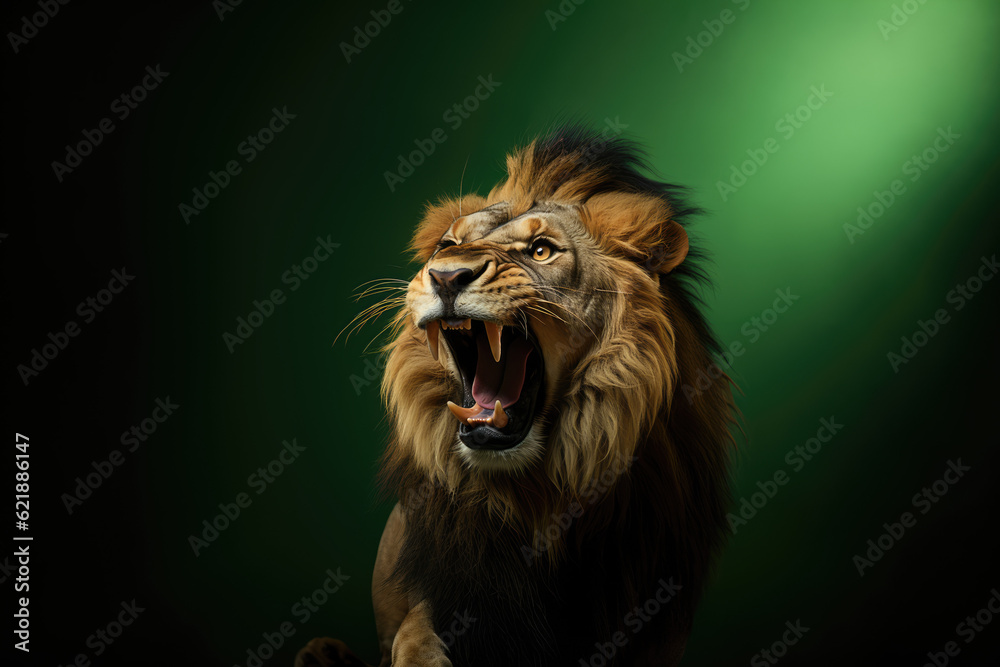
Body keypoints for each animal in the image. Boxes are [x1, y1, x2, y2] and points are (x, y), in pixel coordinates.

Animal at [298, 126, 737, 667]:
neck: (535, 493)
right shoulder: (449, 597)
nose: (445, 275)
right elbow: (417, 639)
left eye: (542, 250)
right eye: (448, 244)